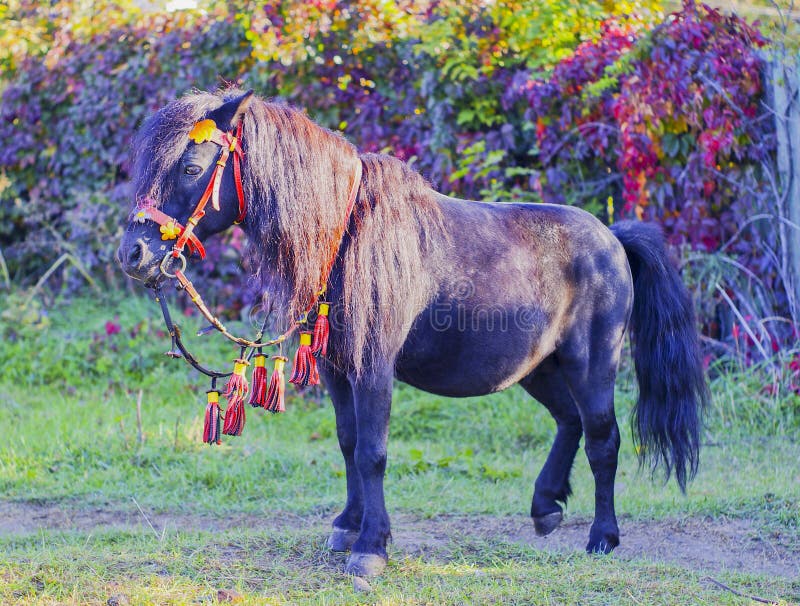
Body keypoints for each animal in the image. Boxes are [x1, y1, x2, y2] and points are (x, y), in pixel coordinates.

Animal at [118, 88, 708, 578]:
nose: (133, 254)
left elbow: (372, 452)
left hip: (592, 362)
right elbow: (348, 441)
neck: (346, 233)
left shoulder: (373, 365)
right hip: (536, 367)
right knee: (569, 421)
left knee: (603, 438)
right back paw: (545, 506)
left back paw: (603, 537)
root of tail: (614, 237)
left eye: (192, 166)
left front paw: (371, 548)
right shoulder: (336, 368)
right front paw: (348, 524)